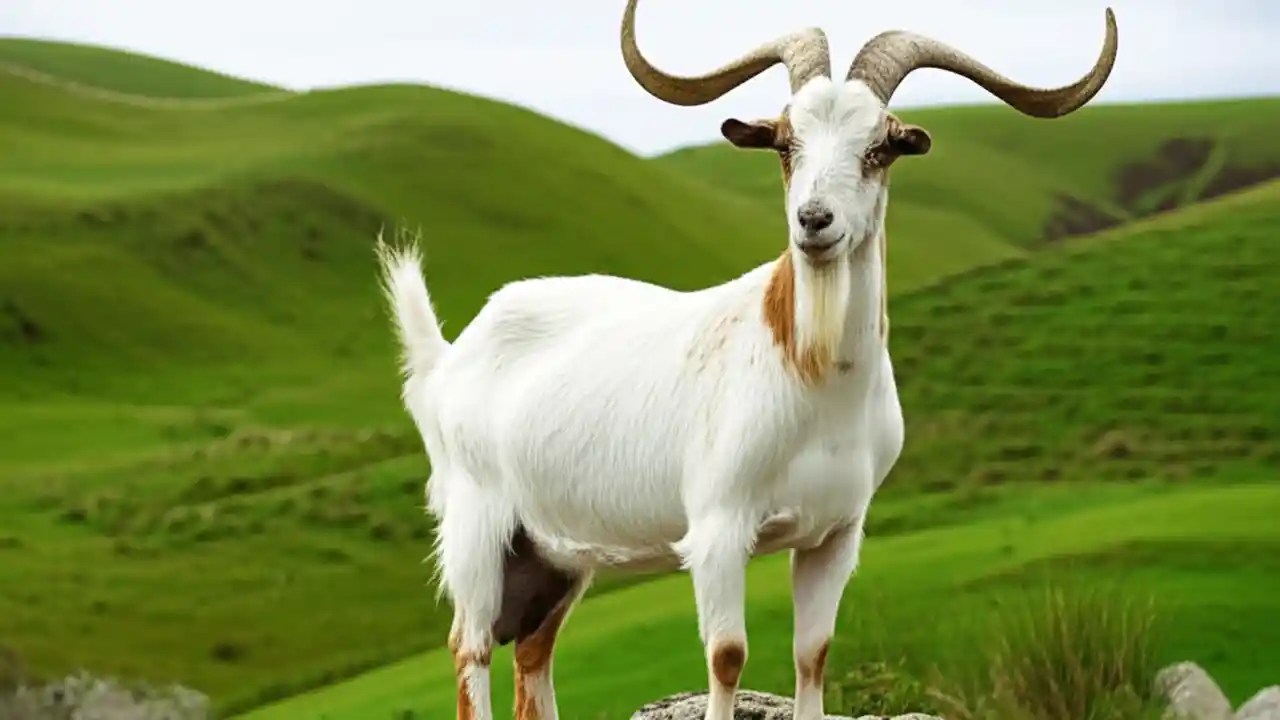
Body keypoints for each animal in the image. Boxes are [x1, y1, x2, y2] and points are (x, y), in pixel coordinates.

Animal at [379, 2, 1117, 718]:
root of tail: (446, 359)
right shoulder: (718, 527)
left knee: (534, 654)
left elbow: (813, 654)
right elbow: (727, 656)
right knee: (470, 647)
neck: (813, 380)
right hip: (477, 527)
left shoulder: (834, 535)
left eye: (879, 147)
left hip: (552, 553)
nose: (814, 221)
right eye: (786, 143)